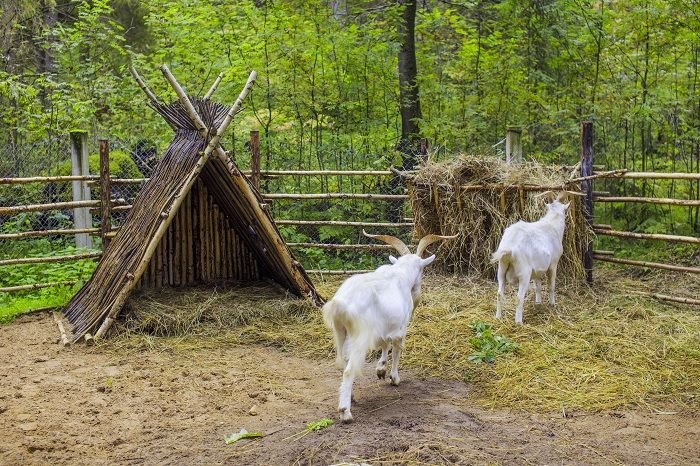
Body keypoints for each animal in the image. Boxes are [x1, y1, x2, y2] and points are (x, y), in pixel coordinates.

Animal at [323, 230, 456, 423]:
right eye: (422, 270)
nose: (418, 292)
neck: (400, 273)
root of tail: (340, 306)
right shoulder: (401, 328)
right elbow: (397, 348)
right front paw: (394, 378)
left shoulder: (384, 326)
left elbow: (385, 343)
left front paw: (381, 369)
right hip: (360, 337)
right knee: (348, 370)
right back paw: (345, 411)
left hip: (340, 333)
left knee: (342, 363)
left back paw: (350, 396)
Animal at [492, 192, 570, 324]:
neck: (552, 225)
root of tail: (509, 246)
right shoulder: (553, 264)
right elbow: (551, 286)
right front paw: (552, 304)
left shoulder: (537, 270)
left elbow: (537, 286)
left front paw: (538, 303)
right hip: (524, 273)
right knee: (519, 297)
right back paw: (519, 322)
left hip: (501, 270)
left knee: (499, 294)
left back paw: (498, 317)